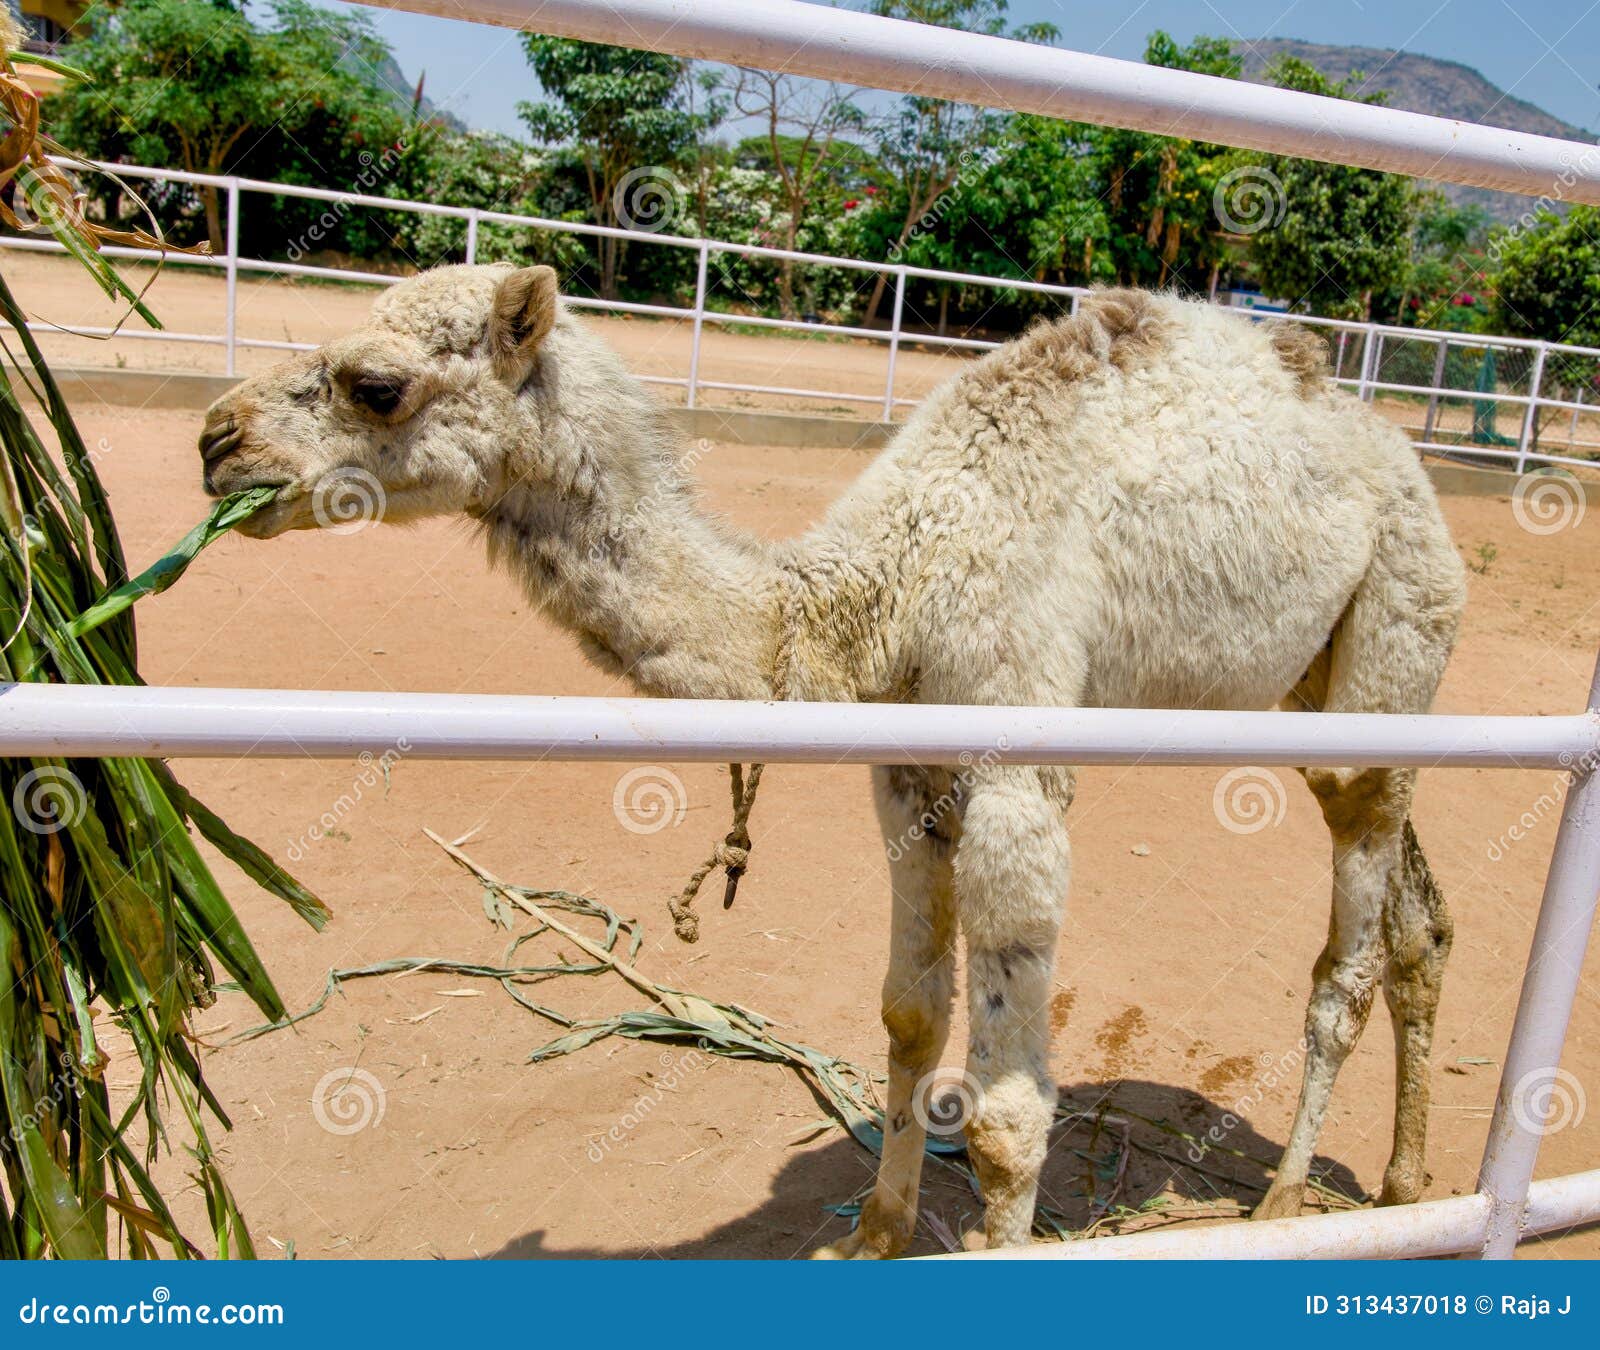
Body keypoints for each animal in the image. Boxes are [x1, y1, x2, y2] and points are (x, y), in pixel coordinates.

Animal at [197, 264, 1467, 1258]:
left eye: (376, 384)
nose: (215, 440)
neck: (879, 602)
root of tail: (1396, 453)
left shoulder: (1018, 772)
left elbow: (1009, 1119)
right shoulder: (907, 775)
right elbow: (907, 1018)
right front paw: (878, 1230)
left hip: (1398, 629)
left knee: (1346, 962)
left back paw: (1288, 1200)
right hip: (1313, 694)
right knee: (1418, 919)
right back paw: (1403, 1179)